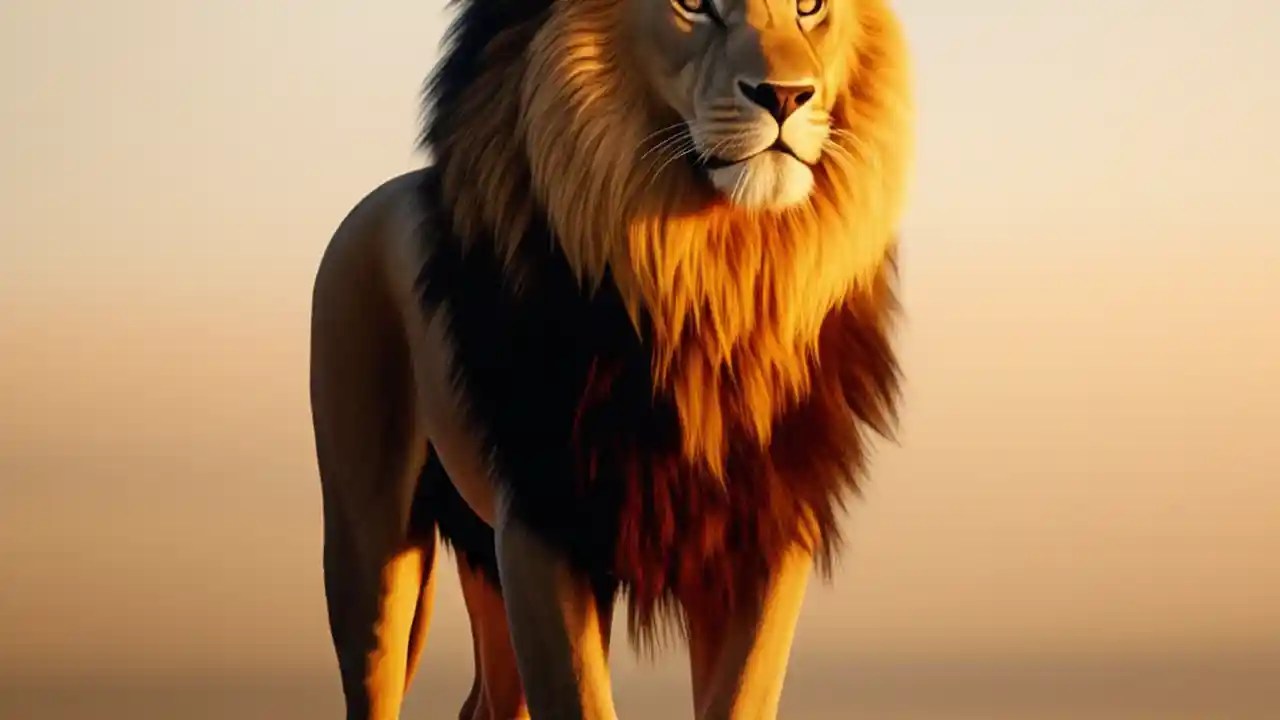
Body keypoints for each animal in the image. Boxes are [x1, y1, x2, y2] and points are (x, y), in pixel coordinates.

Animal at [309, 0, 912, 718]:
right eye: (693, 7)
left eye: (809, 8)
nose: (788, 96)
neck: (711, 284)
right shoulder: (540, 520)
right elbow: (581, 698)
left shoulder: (765, 529)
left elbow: (742, 694)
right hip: (371, 547)